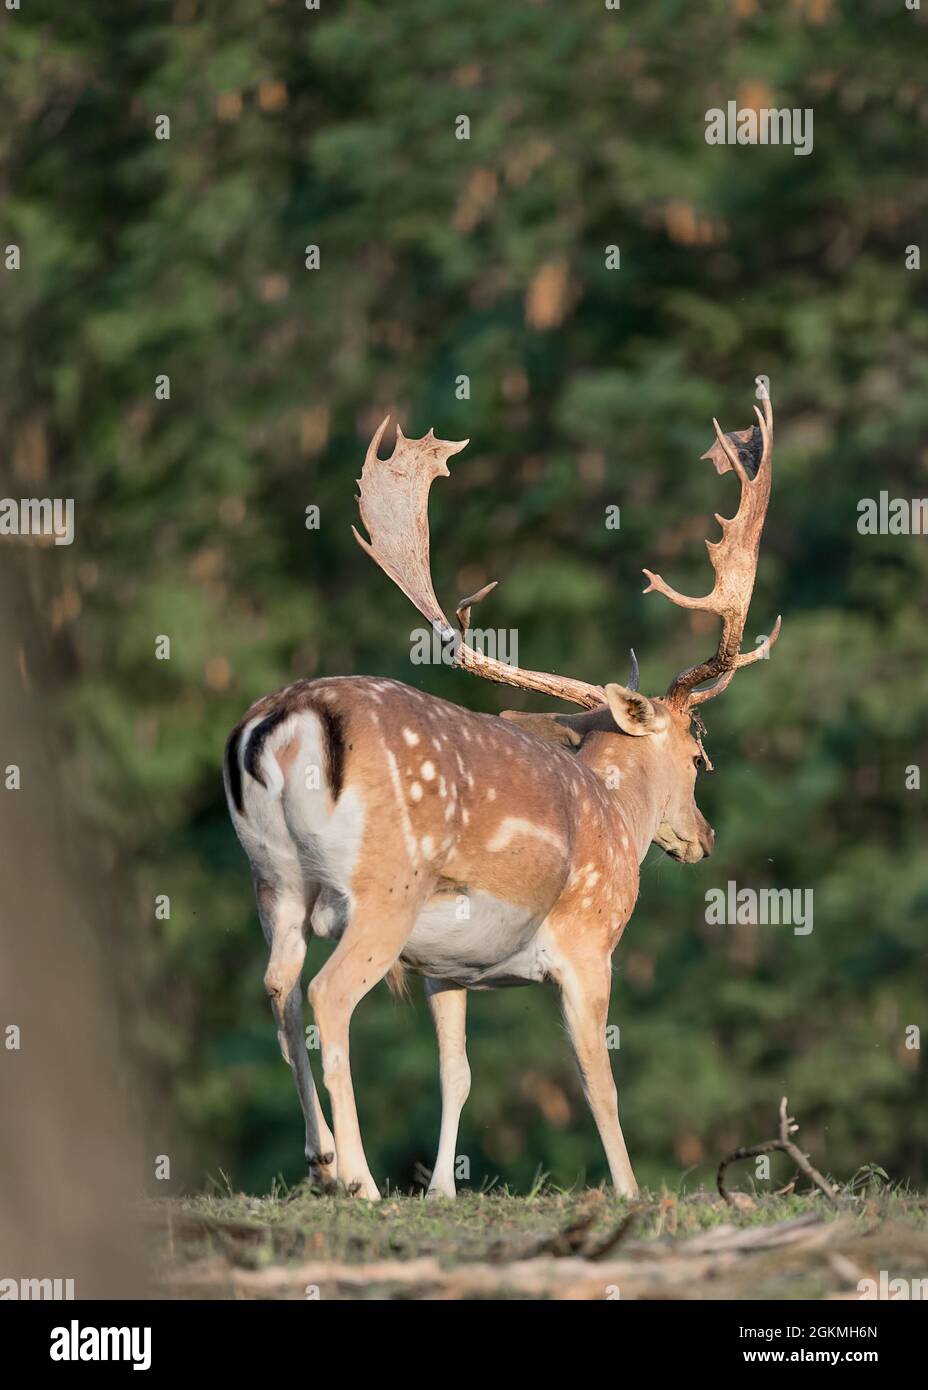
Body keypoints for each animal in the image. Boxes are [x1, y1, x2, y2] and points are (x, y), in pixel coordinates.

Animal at [223, 382, 779, 1201]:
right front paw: (628, 1190)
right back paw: (360, 1180)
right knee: (329, 995)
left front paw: (443, 1189)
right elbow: (599, 1082)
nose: (704, 837)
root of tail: (284, 720)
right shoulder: (589, 941)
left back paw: (321, 1160)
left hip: (274, 881)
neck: (616, 812)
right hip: (385, 885)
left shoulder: (445, 969)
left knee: (279, 988)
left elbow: (457, 1072)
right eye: (699, 750)